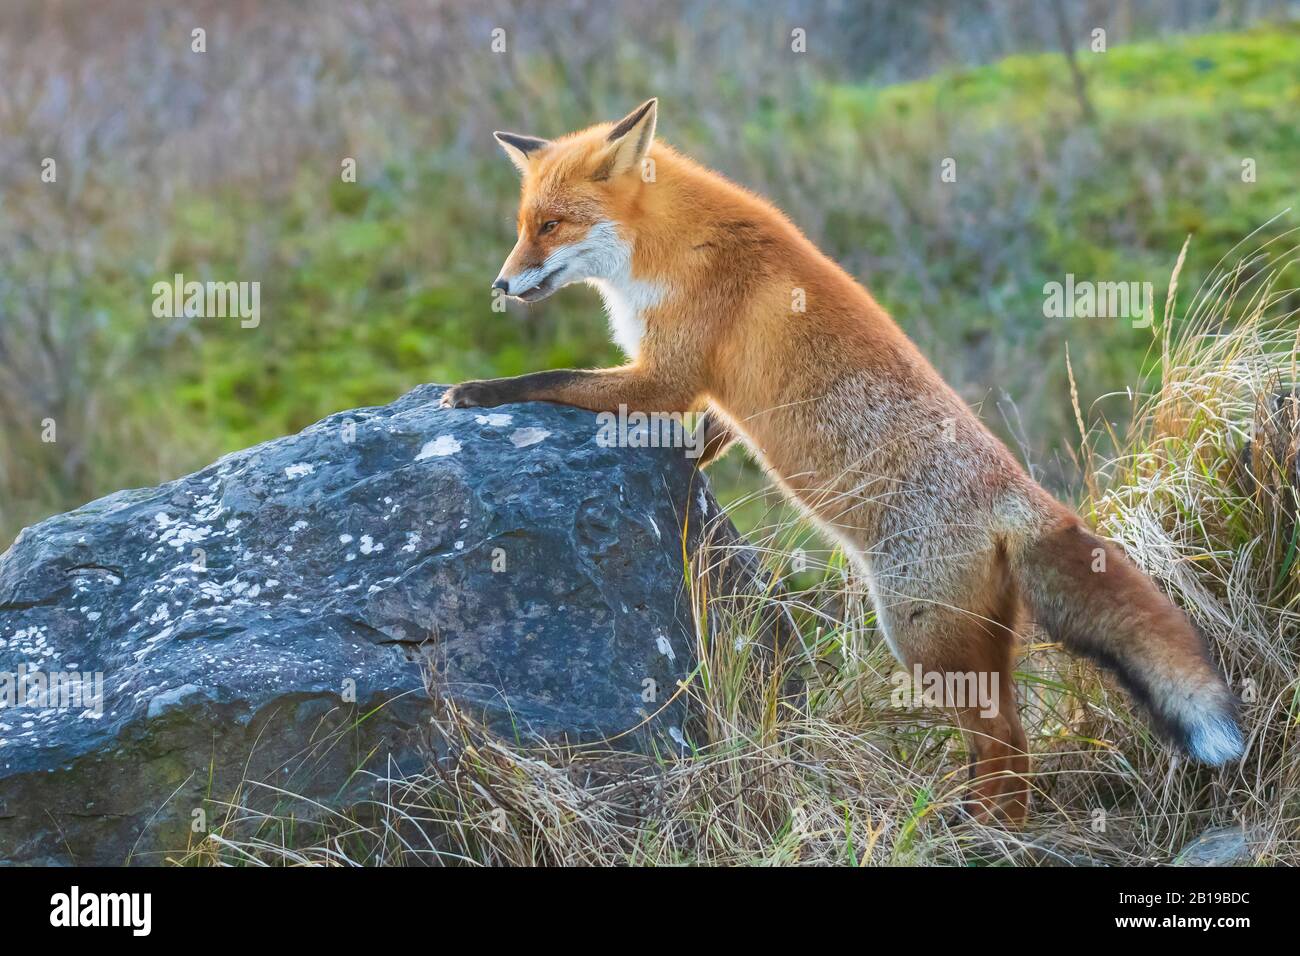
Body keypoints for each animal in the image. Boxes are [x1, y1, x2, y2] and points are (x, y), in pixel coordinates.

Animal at [440, 98, 1245, 824]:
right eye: (523, 226)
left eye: (550, 225)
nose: (500, 285)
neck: (670, 246)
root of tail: (1023, 496)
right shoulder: (711, 397)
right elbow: (702, 442)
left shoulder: (663, 377)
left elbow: (550, 377)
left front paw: (475, 391)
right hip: (974, 645)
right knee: (1001, 743)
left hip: (920, 638)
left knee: (1008, 745)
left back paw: (986, 833)